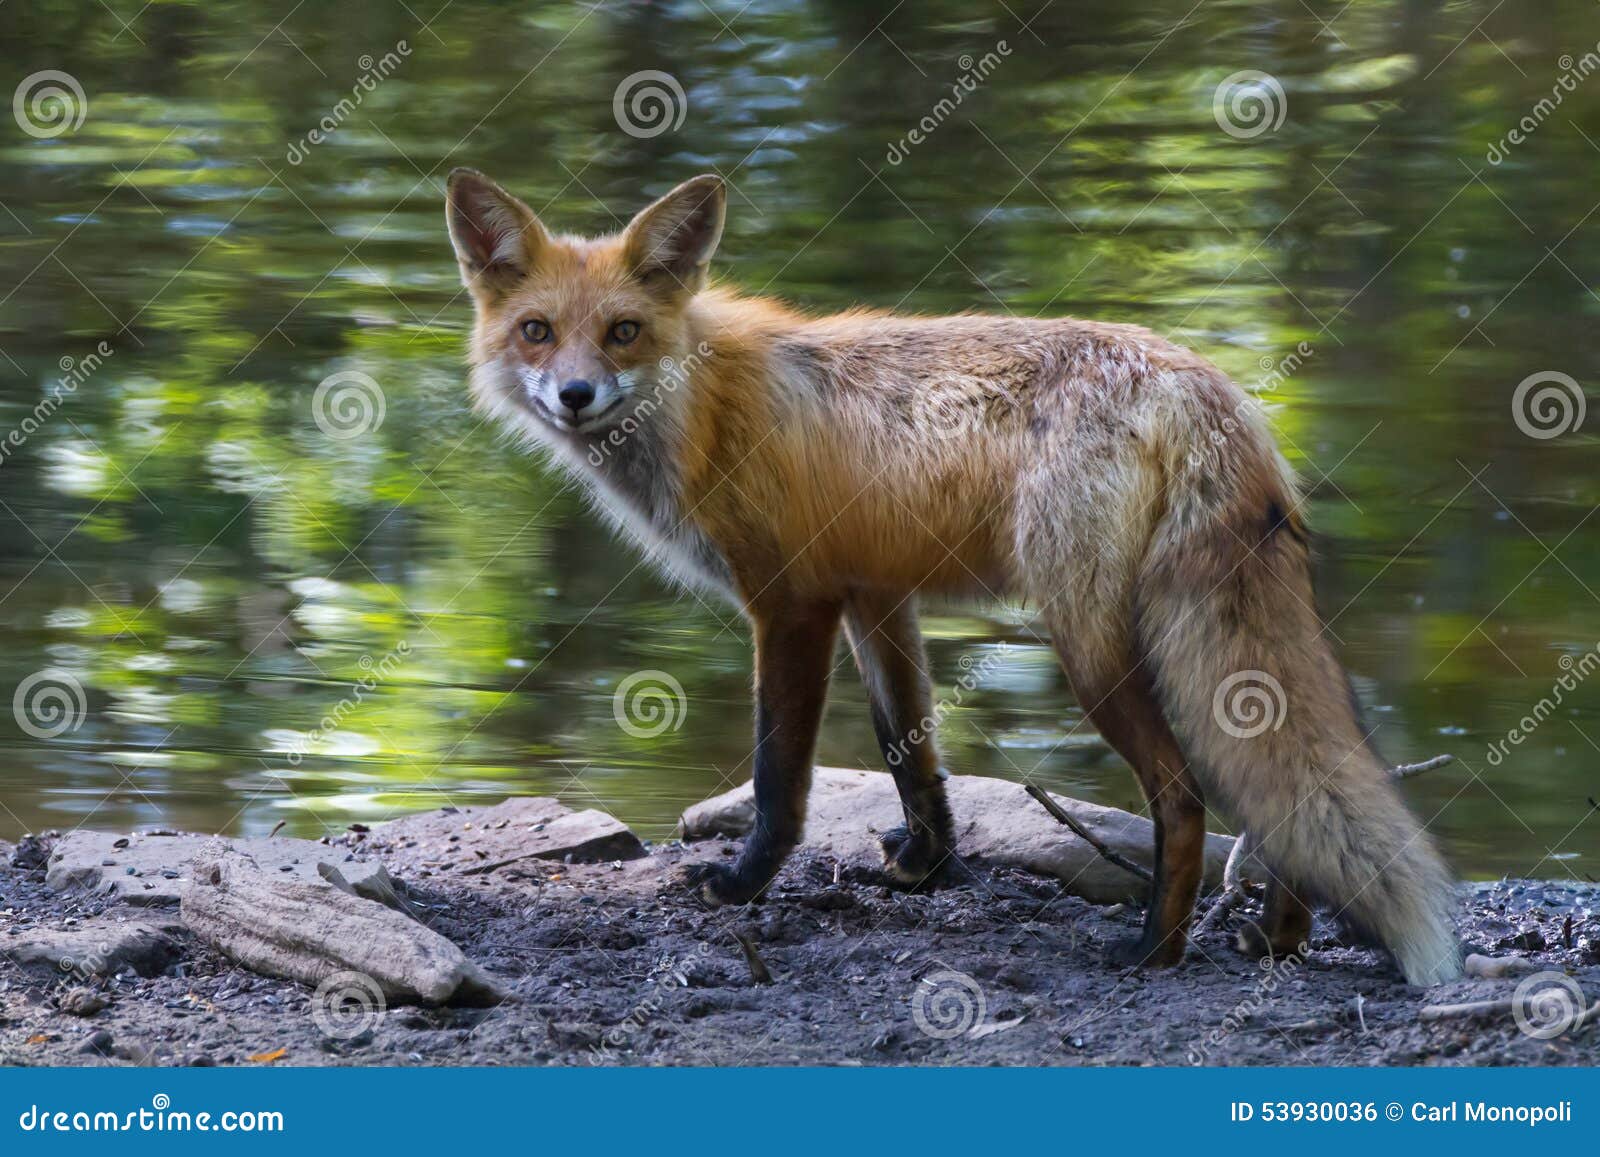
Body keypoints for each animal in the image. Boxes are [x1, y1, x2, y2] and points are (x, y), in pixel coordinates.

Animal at [444, 168, 1464, 985]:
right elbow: (912, 755)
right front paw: (923, 870)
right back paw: (1279, 938)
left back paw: (1155, 950)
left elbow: (779, 776)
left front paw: (741, 884)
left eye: (622, 332)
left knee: (1185, 797)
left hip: (1091, 645)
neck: (705, 408)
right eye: (537, 331)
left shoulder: (792, 604)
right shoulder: (875, 597)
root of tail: (1199, 384)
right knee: (1271, 797)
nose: (575, 395)